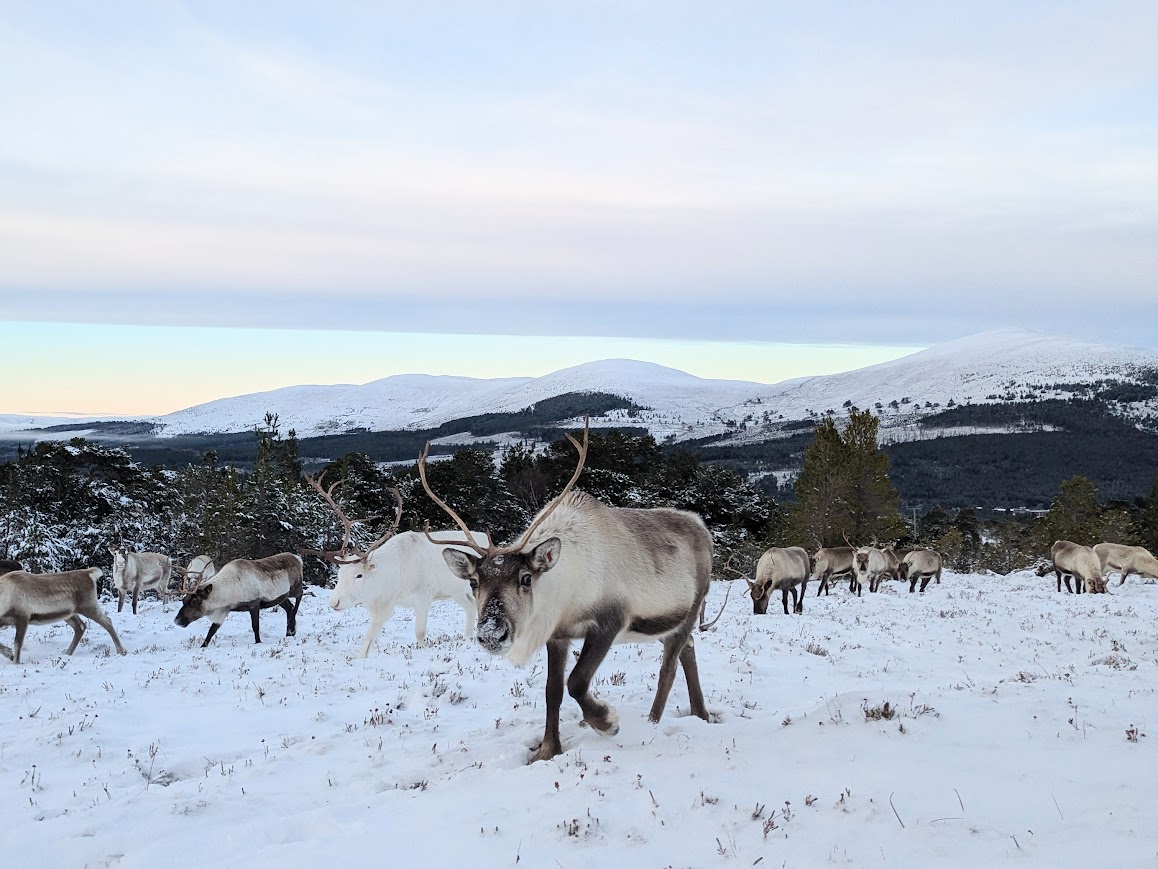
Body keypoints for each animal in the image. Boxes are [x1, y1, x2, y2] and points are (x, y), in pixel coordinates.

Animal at [302, 473, 481, 655]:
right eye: (339, 574)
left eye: (359, 575)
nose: (334, 602)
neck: (393, 583)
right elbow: (368, 638)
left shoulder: (424, 596)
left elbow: (420, 632)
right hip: (457, 592)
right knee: (470, 607)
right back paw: (467, 637)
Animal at [418, 420, 713, 763]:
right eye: (473, 582)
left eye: (526, 578)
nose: (492, 633)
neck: (565, 599)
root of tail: (703, 529)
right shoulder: (557, 635)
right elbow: (553, 691)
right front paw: (548, 749)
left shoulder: (609, 622)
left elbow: (577, 682)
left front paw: (606, 721)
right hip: (667, 620)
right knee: (688, 648)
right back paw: (701, 714)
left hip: (691, 608)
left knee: (669, 666)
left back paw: (653, 723)